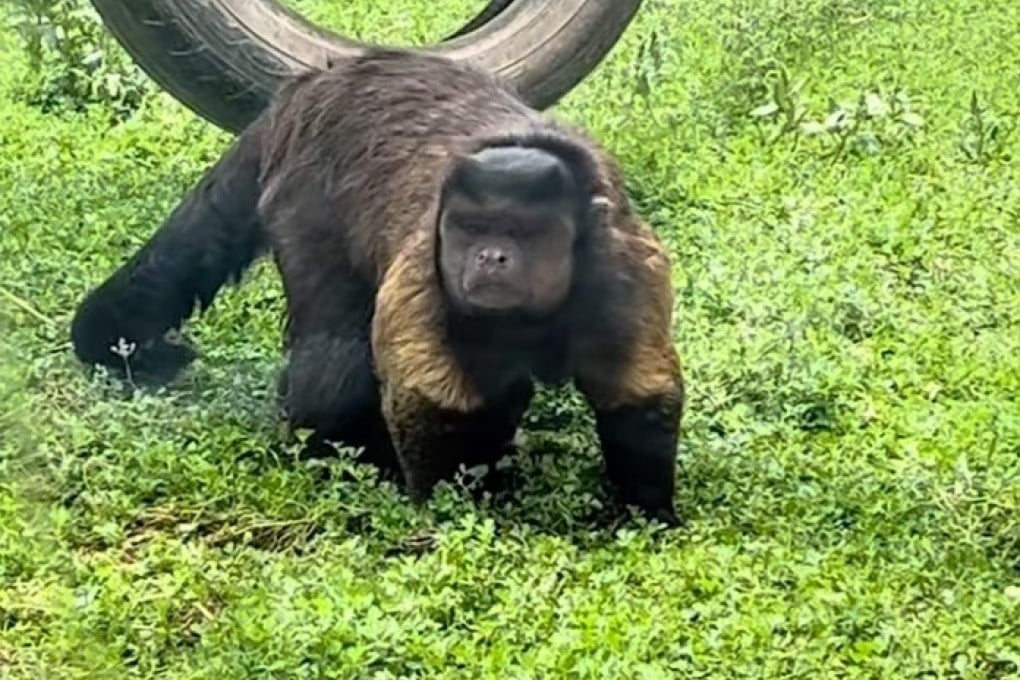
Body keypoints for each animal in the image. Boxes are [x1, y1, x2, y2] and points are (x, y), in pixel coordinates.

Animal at [70, 47, 686, 525]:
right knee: (336, 355)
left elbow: (638, 389)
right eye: (471, 227)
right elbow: (428, 394)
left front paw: (647, 514)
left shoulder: (625, 266)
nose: (490, 257)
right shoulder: (424, 261)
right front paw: (455, 515)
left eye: (525, 232)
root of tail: (313, 86)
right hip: (306, 199)